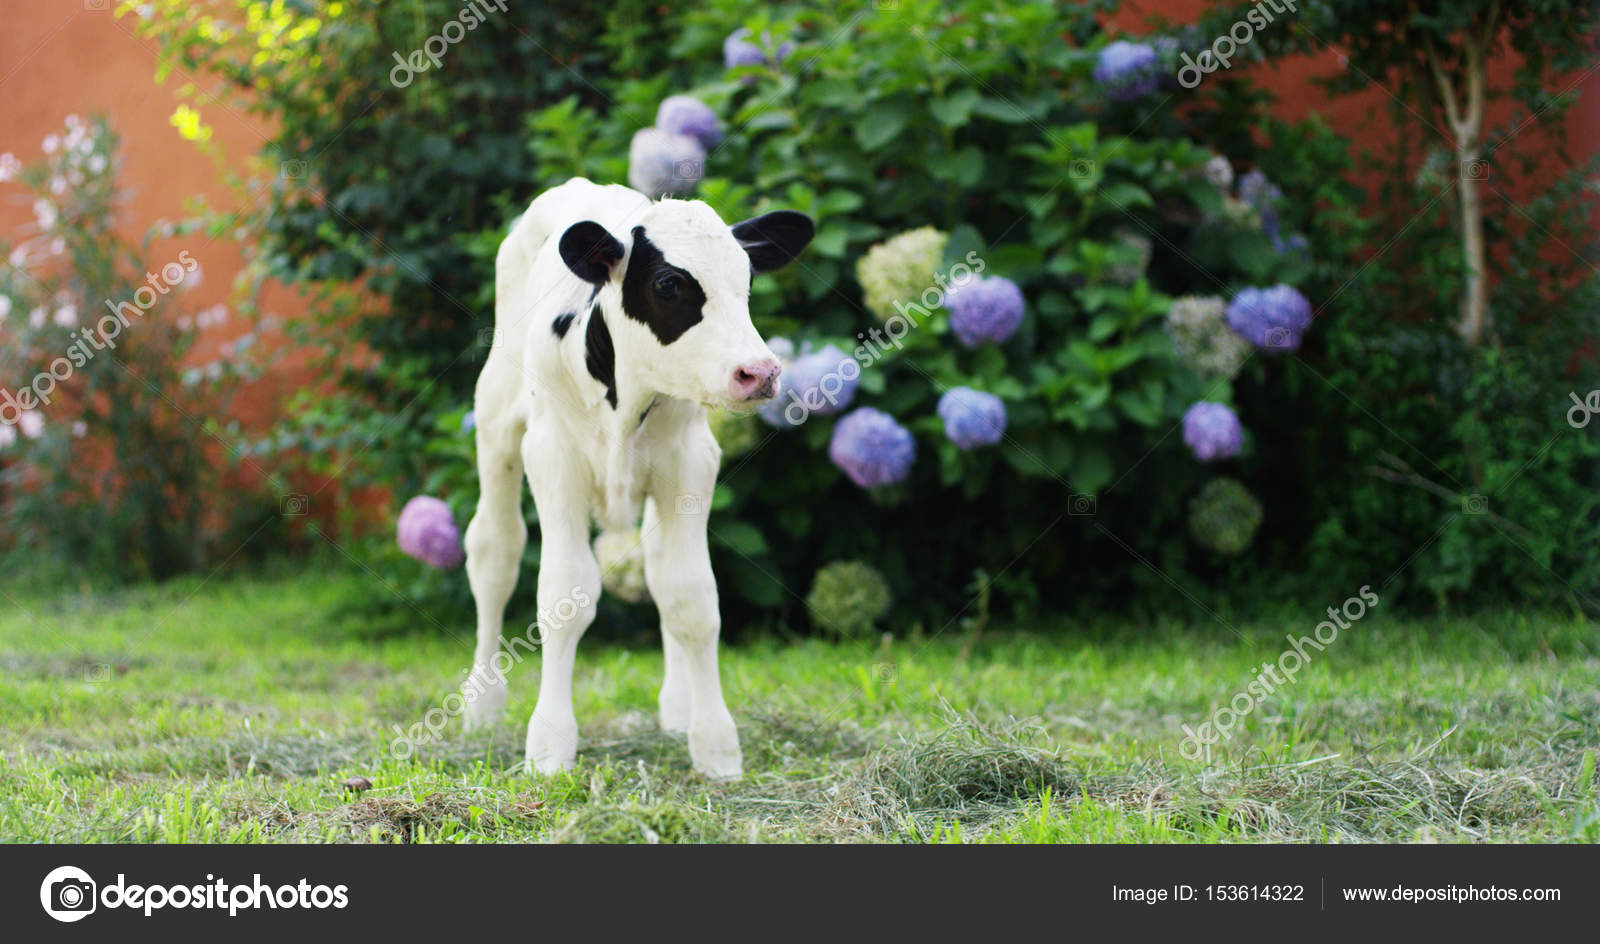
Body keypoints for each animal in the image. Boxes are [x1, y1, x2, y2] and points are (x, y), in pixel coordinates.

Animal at [459, 177, 814, 779]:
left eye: (746, 280)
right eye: (669, 283)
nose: (760, 372)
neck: (626, 396)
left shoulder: (691, 459)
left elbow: (690, 597)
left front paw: (714, 745)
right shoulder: (553, 457)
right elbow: (564, 596)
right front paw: (550, 746)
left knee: (657, 563)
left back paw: (677, 705)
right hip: (497, 419)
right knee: (494, 553)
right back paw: (483, 706)